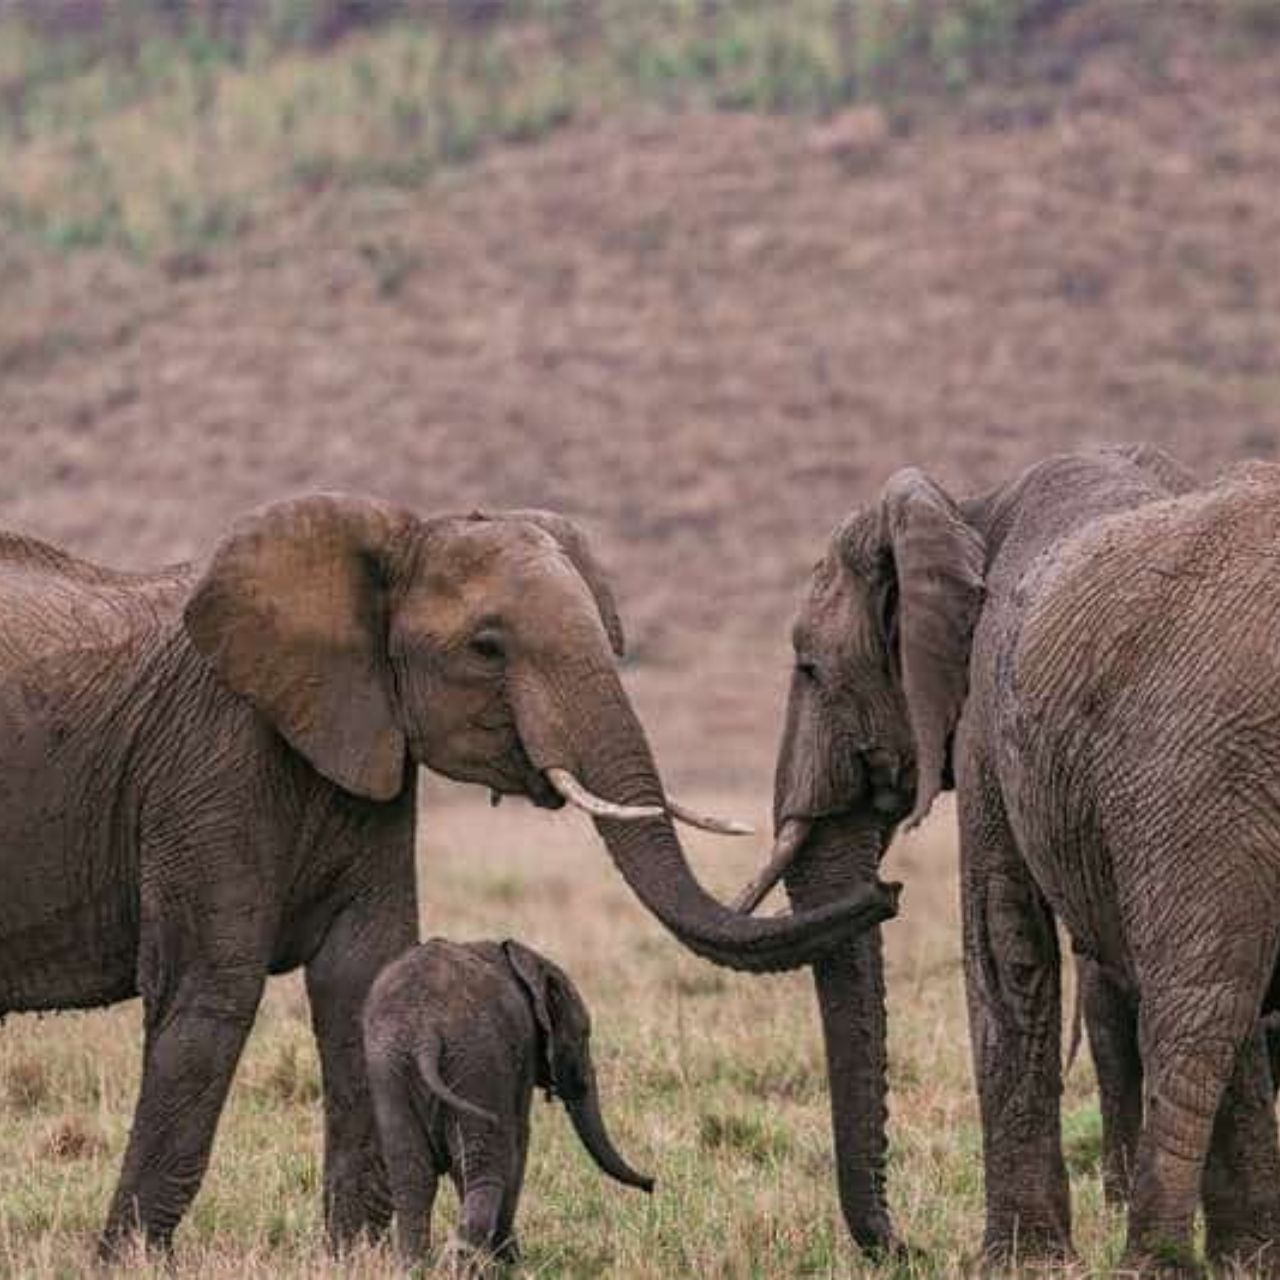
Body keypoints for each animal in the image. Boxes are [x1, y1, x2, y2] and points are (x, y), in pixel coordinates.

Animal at [362, 936, 652, 1268]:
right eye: (584, 1034)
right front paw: (511, 1263)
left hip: (391, 1067)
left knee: (412, 1172)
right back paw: (463, 1264)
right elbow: (519, 1142)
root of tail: (426, 1035)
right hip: (476, 1059)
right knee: (485, 1163)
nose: (652, 1184)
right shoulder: (519, 1057)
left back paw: (415, 1267)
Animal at [732, 445, 1280, 1272]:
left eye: (808, 668)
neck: (971, 510)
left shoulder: (992, 716)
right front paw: (1247, 1262)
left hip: (1204, 761)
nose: (909, 1247)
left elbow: (1003, 936)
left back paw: (1149, 1261)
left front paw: (1021, 1263)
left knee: (1194, 1015)